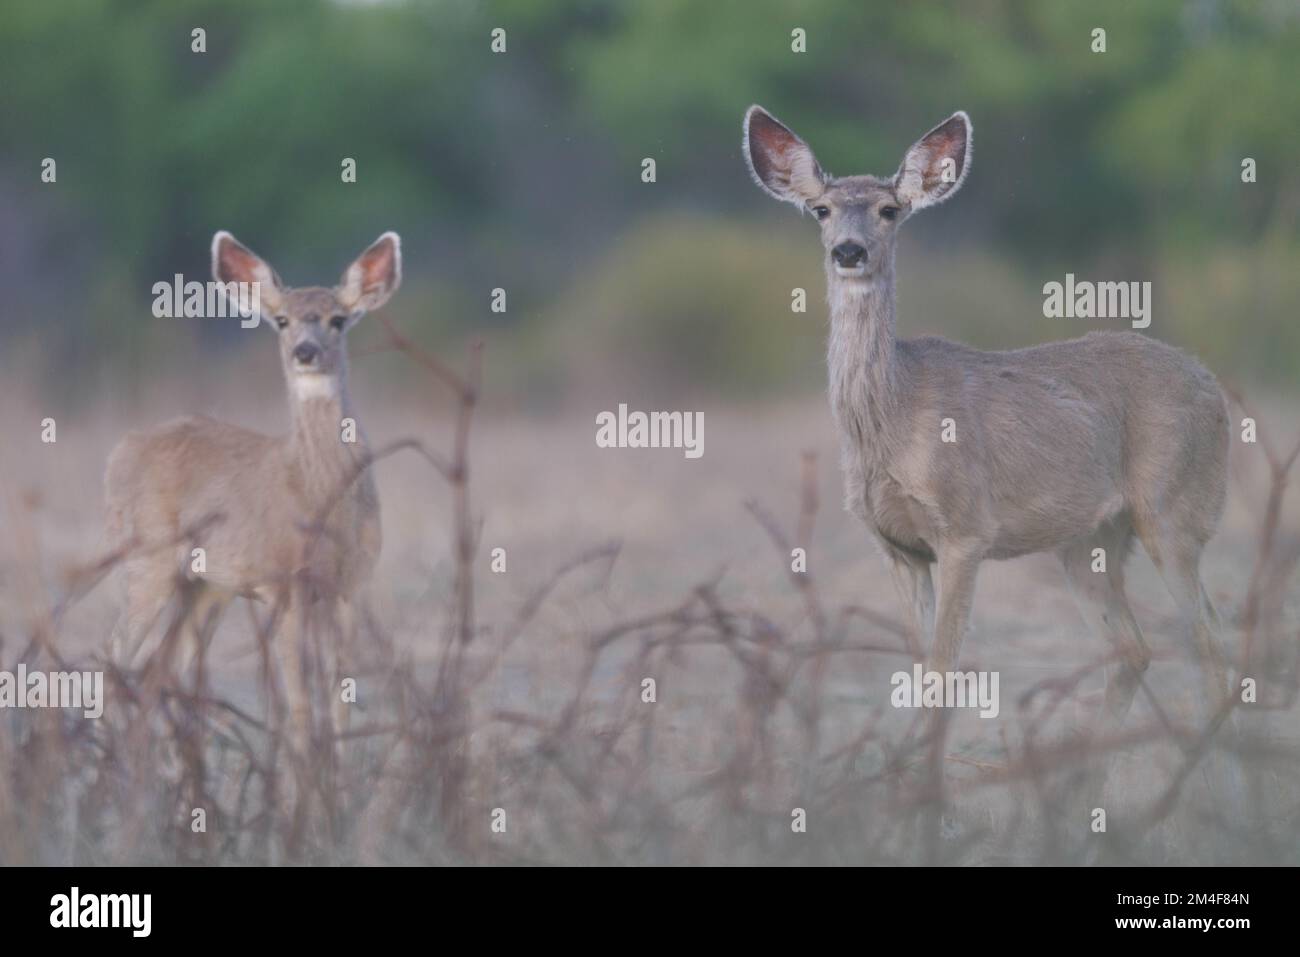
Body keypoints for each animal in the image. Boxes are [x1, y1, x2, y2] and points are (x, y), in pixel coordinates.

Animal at [104, 231, 401, 743]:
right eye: (282, 321)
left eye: (338, 319)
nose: (305, 351)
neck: (318, 492)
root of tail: (120, 451)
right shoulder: (284, 582)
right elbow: (300, 703)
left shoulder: (352, 583)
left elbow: (340, 700)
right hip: (147, 555)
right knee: (116, 652)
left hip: (205, 585)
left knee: (166, 665)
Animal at [742, 106, 1233, 732]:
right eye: (821, 209)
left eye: (889, 209)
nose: (848, 251)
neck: (889, 423)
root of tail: (1214, 388)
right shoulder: (895, 546)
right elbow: (915, 671)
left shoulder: (964, 528)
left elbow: (941, 673)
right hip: (1088, 539)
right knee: (1135, 648)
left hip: (1174, 507)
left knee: (1209, 636)